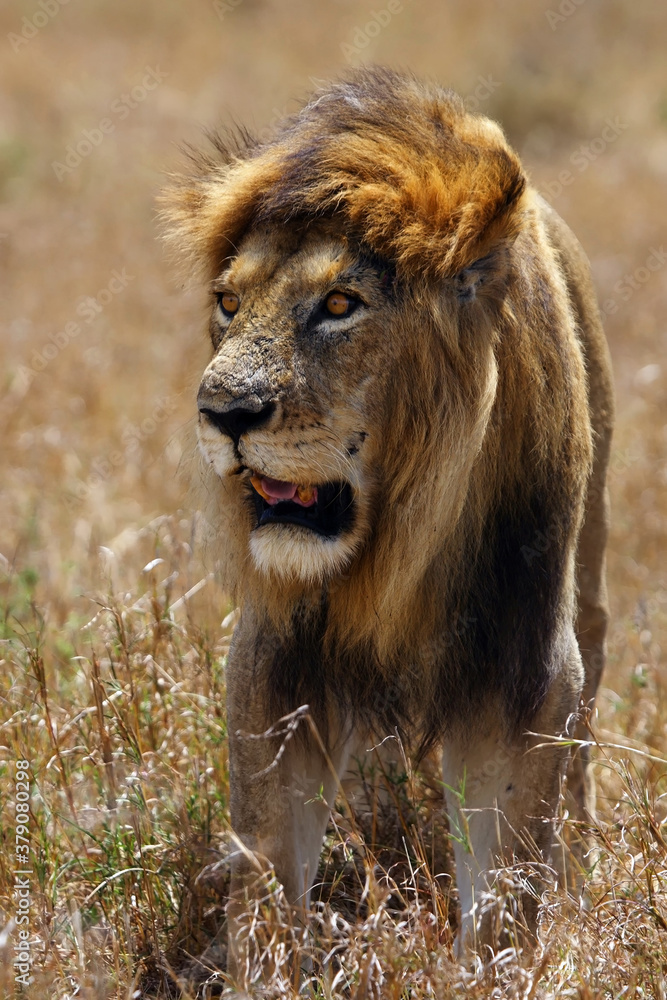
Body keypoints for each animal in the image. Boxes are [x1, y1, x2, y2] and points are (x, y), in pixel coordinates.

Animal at [162, 67, 614, 977]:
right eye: (228, 302)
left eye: (340, 303)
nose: (222, 412)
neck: (399, 549)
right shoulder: (273, 661)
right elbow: (266, 871)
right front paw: (266, 973)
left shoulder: (523, 671)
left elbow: (505, 886)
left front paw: (491, 972)